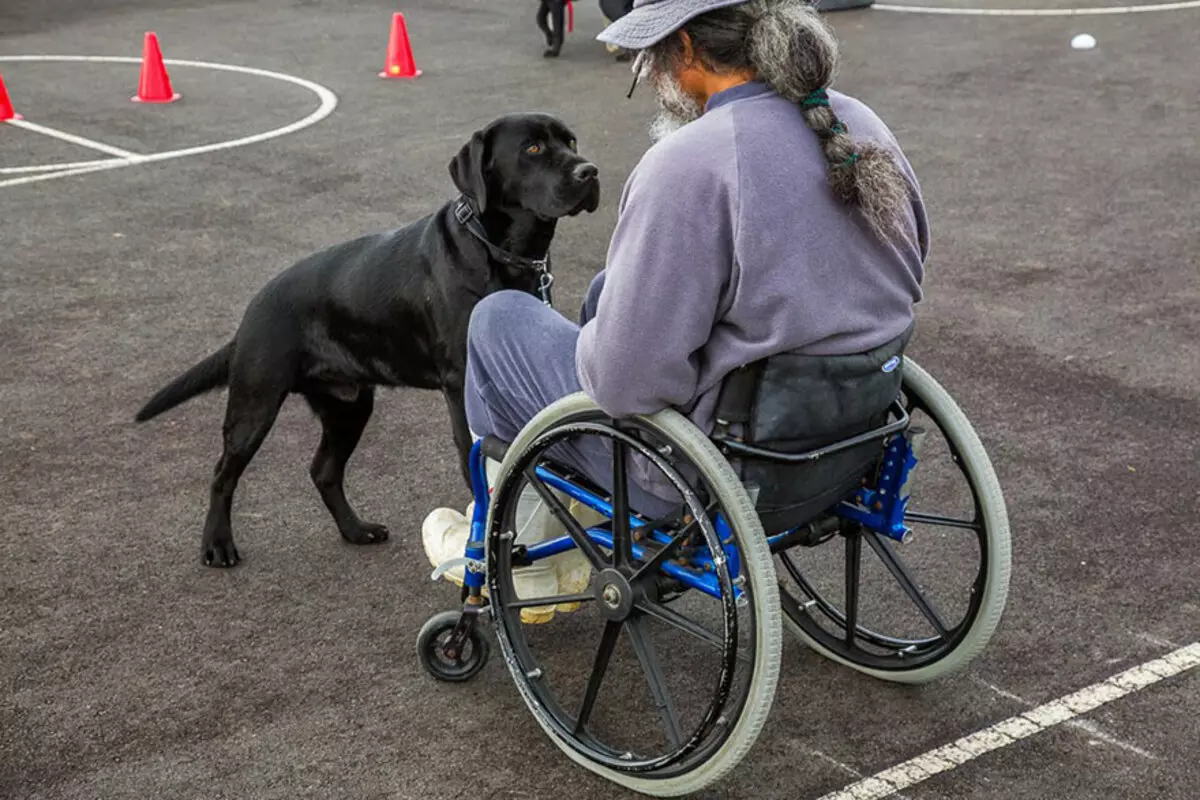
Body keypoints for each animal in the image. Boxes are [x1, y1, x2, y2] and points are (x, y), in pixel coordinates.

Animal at [135, 112, 600, 568]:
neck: (503, 252)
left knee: (323, 471)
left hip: (350, 406)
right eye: (533, 148)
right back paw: (217, 545)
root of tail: (250, 313)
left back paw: (355, 530)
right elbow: (479, 464)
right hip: (255, 403)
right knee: (223, 474)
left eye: (572, 142)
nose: (589, 171)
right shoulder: (461, 385)